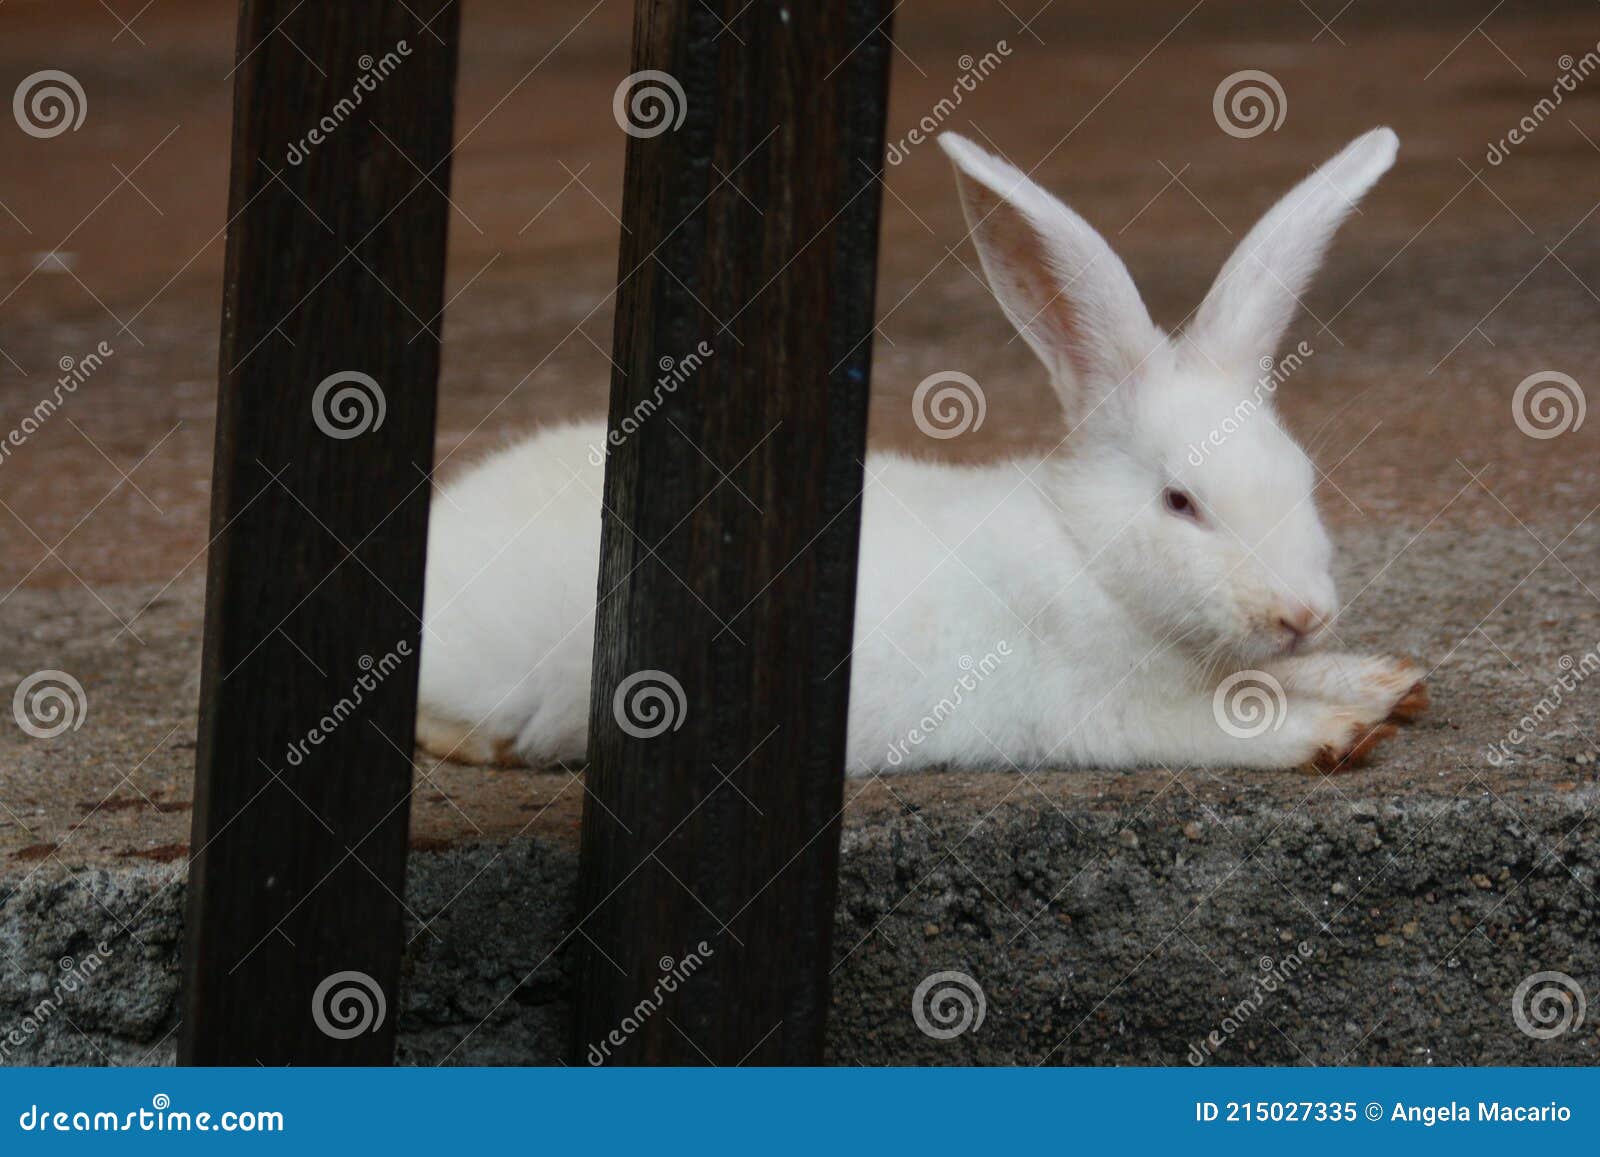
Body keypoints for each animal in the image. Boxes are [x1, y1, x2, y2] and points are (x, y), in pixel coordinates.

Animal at [417, 126, 1427, 775]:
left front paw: (1385, 681)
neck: (1089, 560)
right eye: (1180, 502)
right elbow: (1229, 721)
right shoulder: (1102, 711)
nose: (1301, 612)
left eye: (1304, 481)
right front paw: (1337, 730)